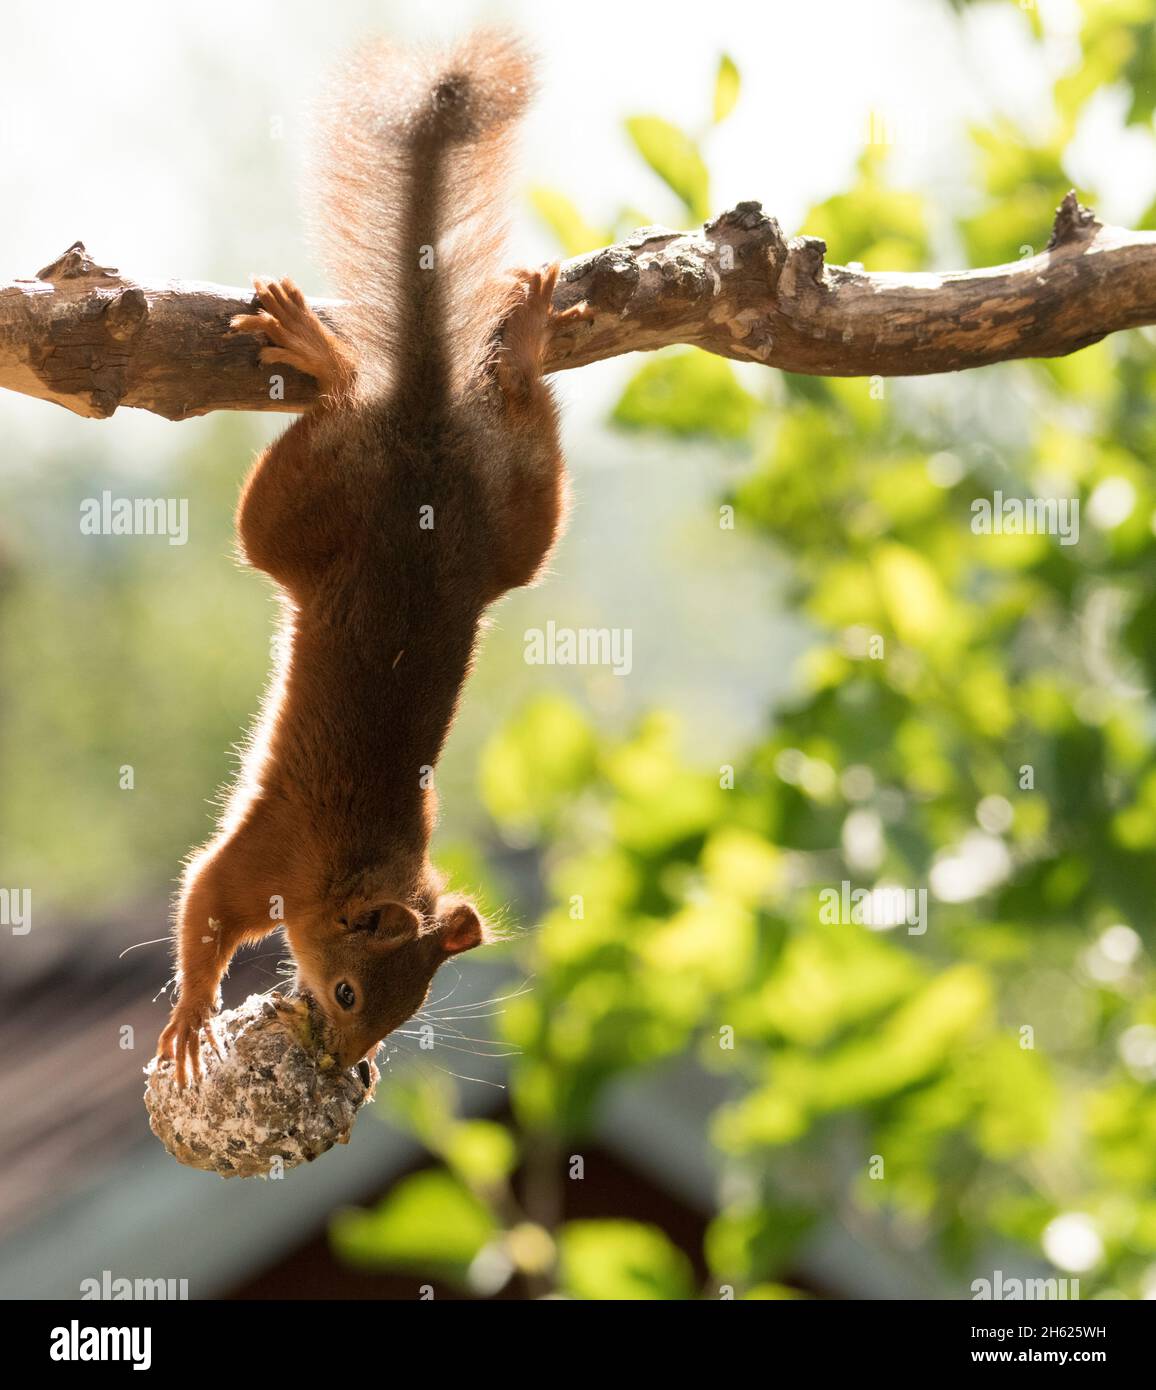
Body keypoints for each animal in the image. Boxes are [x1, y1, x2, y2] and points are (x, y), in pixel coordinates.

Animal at [155, 29, 586, 1084]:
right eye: (351, 993)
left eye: (405, 1010)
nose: (347, 1060)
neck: (354, 868)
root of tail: (426, 424)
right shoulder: (272, 856)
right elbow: (204, 901)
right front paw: (189, 1016)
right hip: (310, 500)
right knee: (341, 404)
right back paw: (330, 350)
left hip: (512, 528)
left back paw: (521, 342)